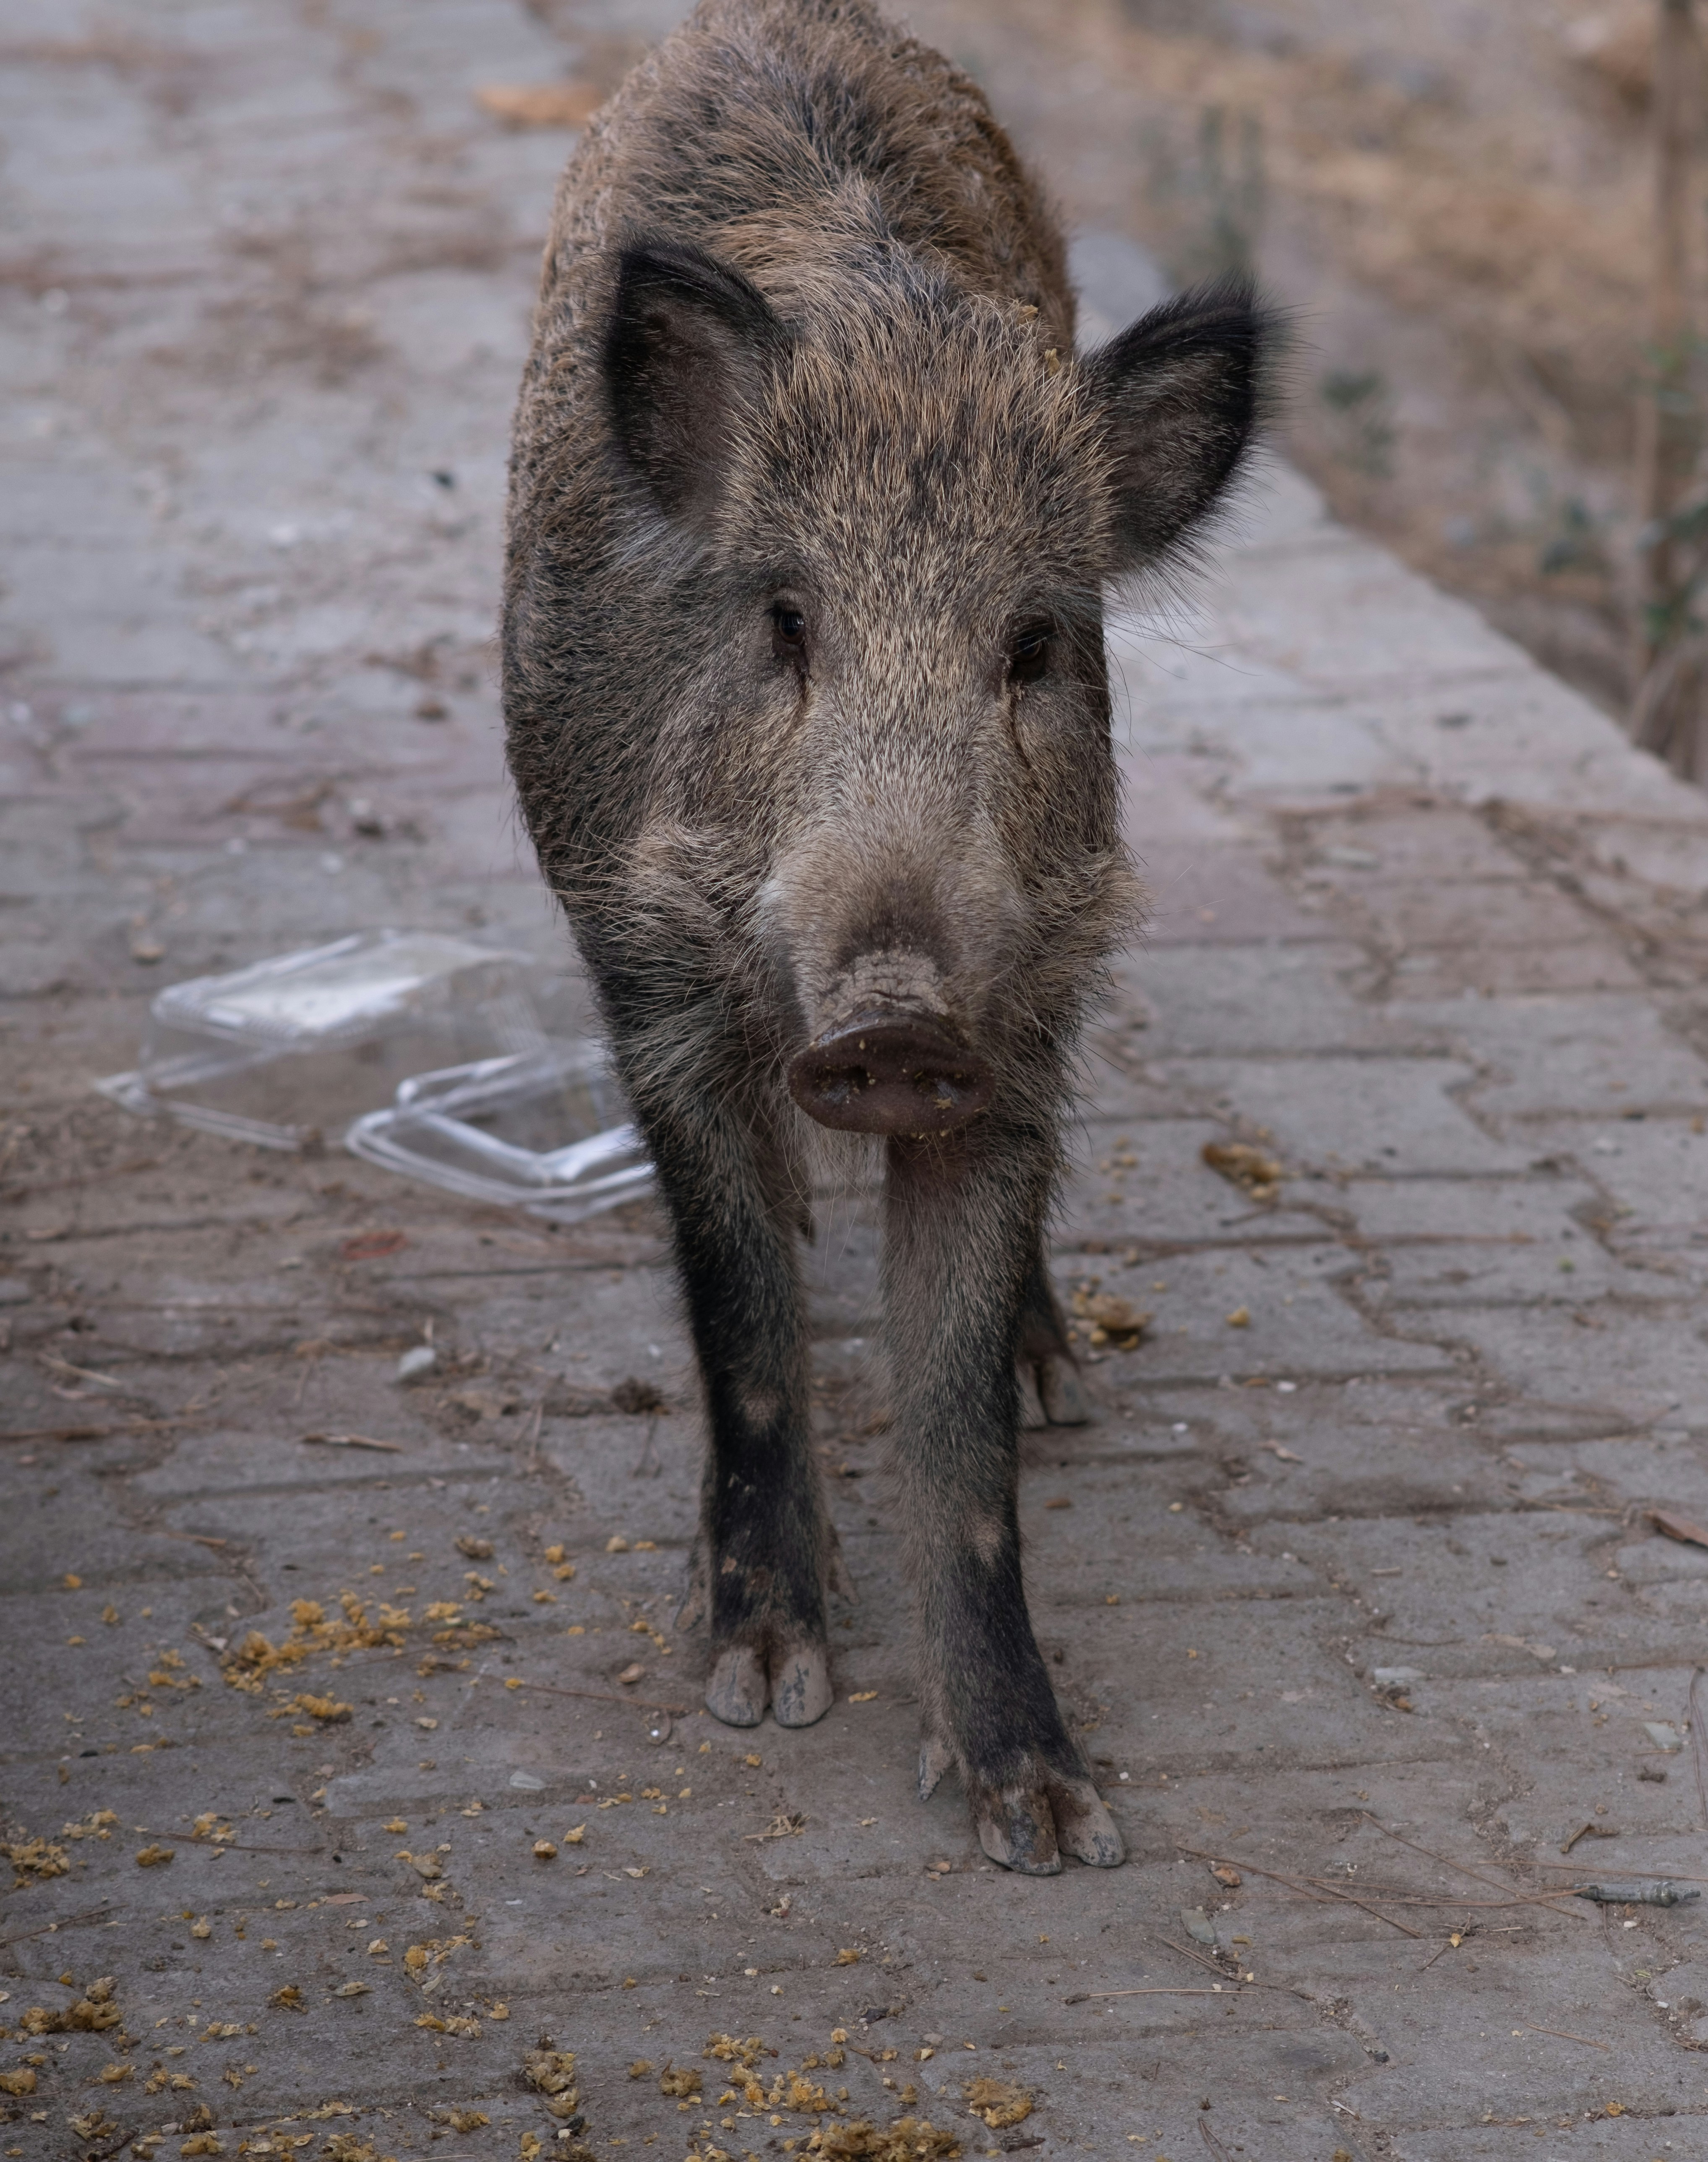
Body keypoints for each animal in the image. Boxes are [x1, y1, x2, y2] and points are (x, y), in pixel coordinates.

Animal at [504, 0, 1272, 1874]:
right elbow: (742, 1315)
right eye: (785, 623)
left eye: (1038, 645)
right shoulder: (648, 981)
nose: (896, 1016)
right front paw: (765, 1680)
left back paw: (1065, 1376)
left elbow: (962, 1427)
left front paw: (1048, 1822)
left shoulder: (1024, 1030)